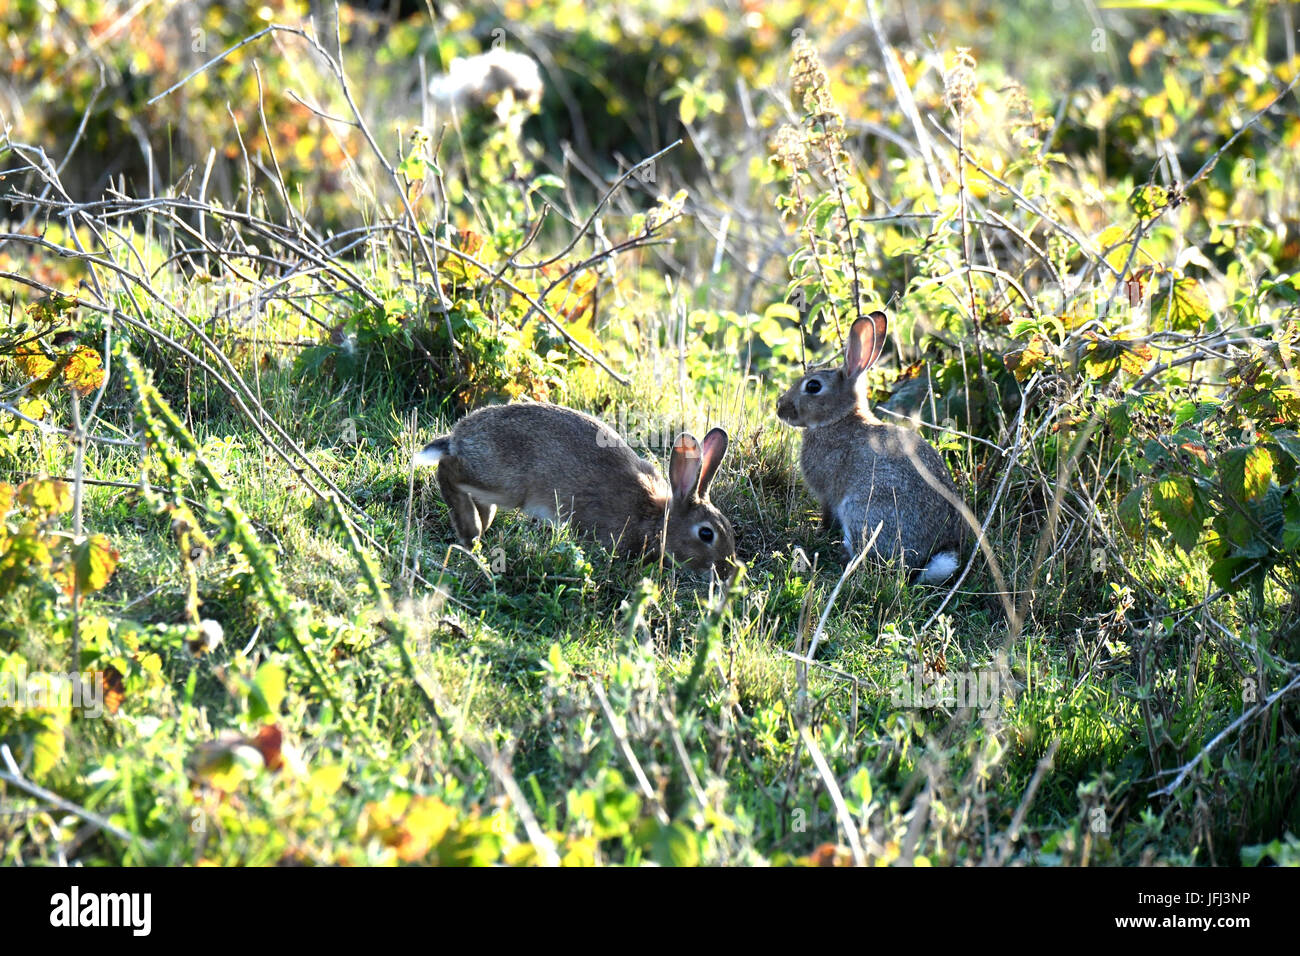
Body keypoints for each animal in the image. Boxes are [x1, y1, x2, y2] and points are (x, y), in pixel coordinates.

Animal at [414, 402, 735, 572]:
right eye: (706, 534)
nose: (726, 568)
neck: (654, 516)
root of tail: (460, 436)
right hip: (507, 484)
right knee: (448, 469)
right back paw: (470, 531)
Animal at [776, 311, 966, 583]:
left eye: (813, 386)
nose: (780, 407)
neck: (839, 418)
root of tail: (929, 559)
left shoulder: (828, 494)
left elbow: (827, 513)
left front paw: (819, 530)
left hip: (860, 509)